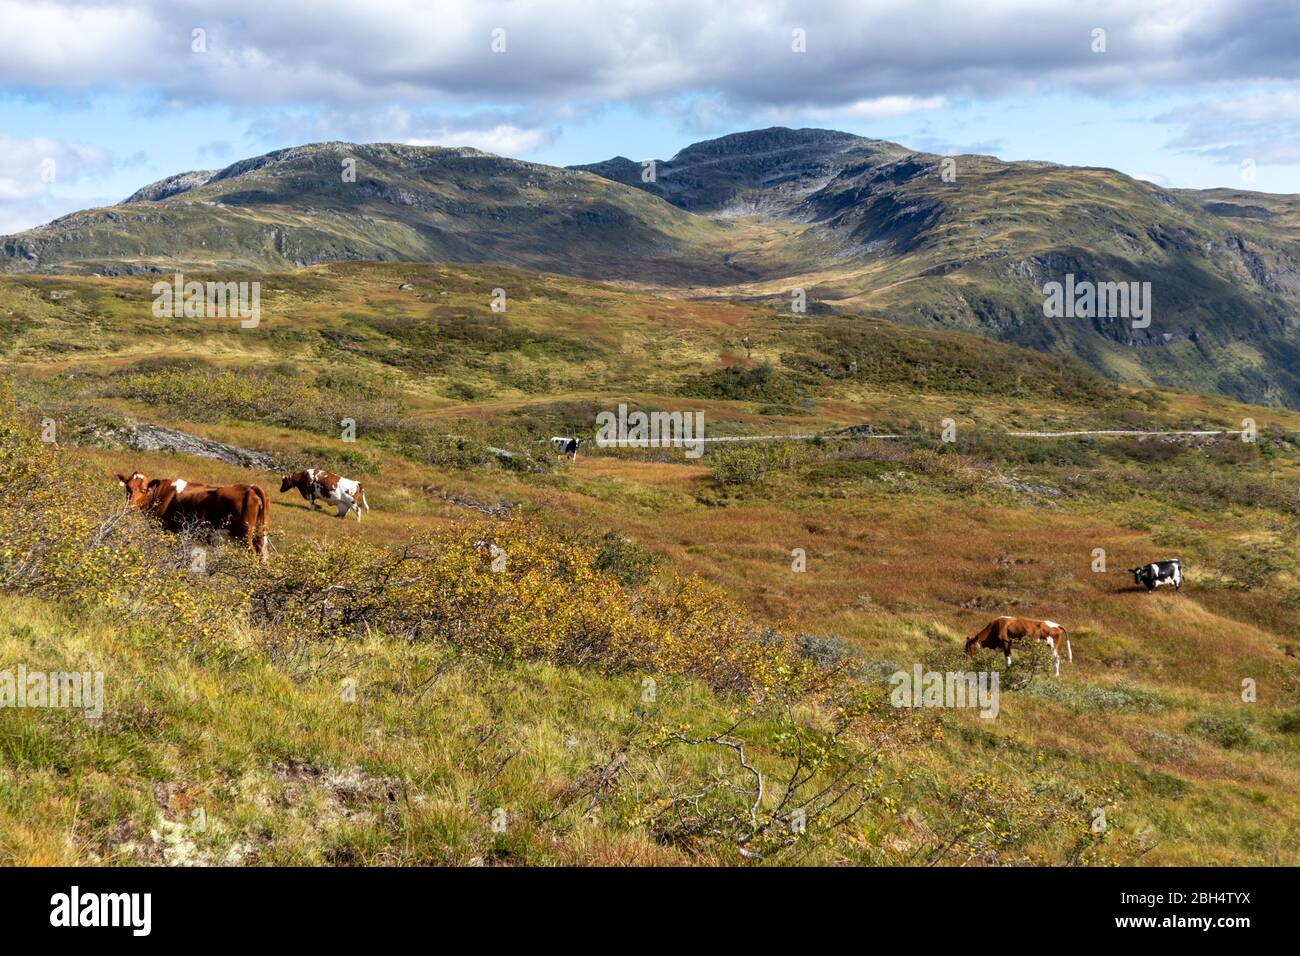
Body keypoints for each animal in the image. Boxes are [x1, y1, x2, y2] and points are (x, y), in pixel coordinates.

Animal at [116, 471, 270, 559]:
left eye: (143, 489)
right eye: (128, 488)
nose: (130, 507)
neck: (160, 494)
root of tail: (250, 487)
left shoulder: (168, 531)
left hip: (245, 536)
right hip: (259, 535)